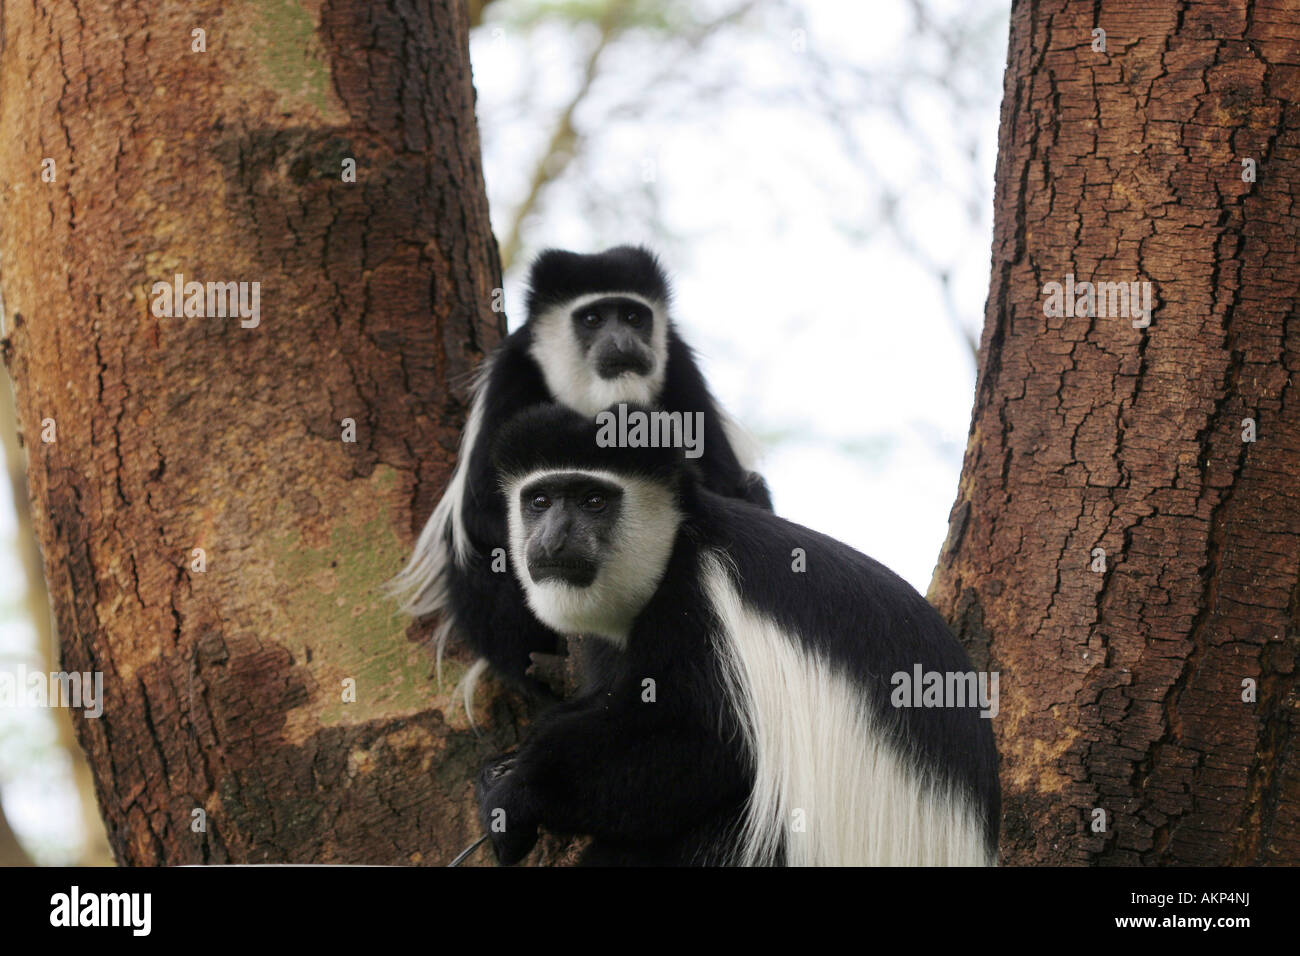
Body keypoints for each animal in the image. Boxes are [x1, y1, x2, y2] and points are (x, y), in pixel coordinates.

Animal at [389, 246, 771, 700]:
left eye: (633, 317)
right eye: (592, 319)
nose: (623, 343)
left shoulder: (678, 365)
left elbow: (725, 484)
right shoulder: (511, 372)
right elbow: (484, 514)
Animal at [474, 403, 999, 866]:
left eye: (594, 500)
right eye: (540, 500)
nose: (552, 540)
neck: (677, 546)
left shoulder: (701, 605)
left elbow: (707, 744)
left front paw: (519, 792)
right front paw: (501, 768)